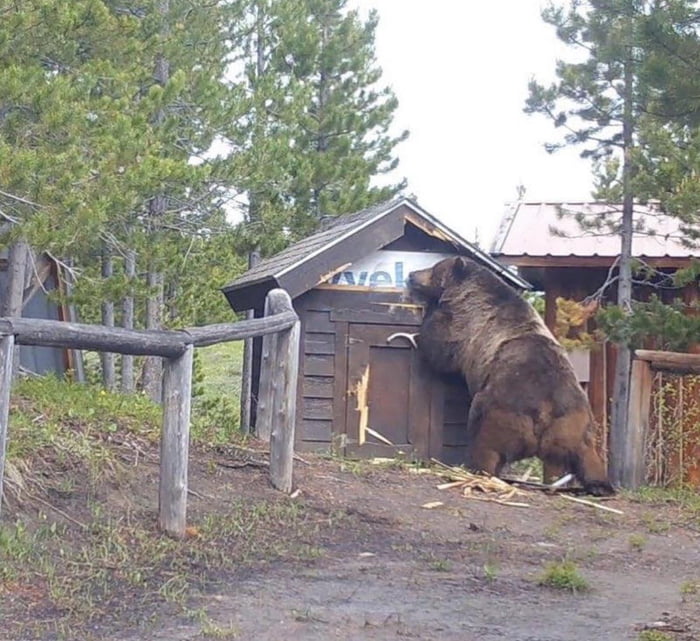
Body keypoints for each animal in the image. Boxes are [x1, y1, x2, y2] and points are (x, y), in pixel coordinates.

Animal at [407, 255, 614, 497]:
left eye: (433, 268)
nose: (411, 274)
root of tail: (544, 412)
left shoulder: (466, 324)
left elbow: (440, 346)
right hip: (574, 422)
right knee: (586, 453)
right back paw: (600, 485)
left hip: (500, 409)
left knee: (485, 440)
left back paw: (477, 470)